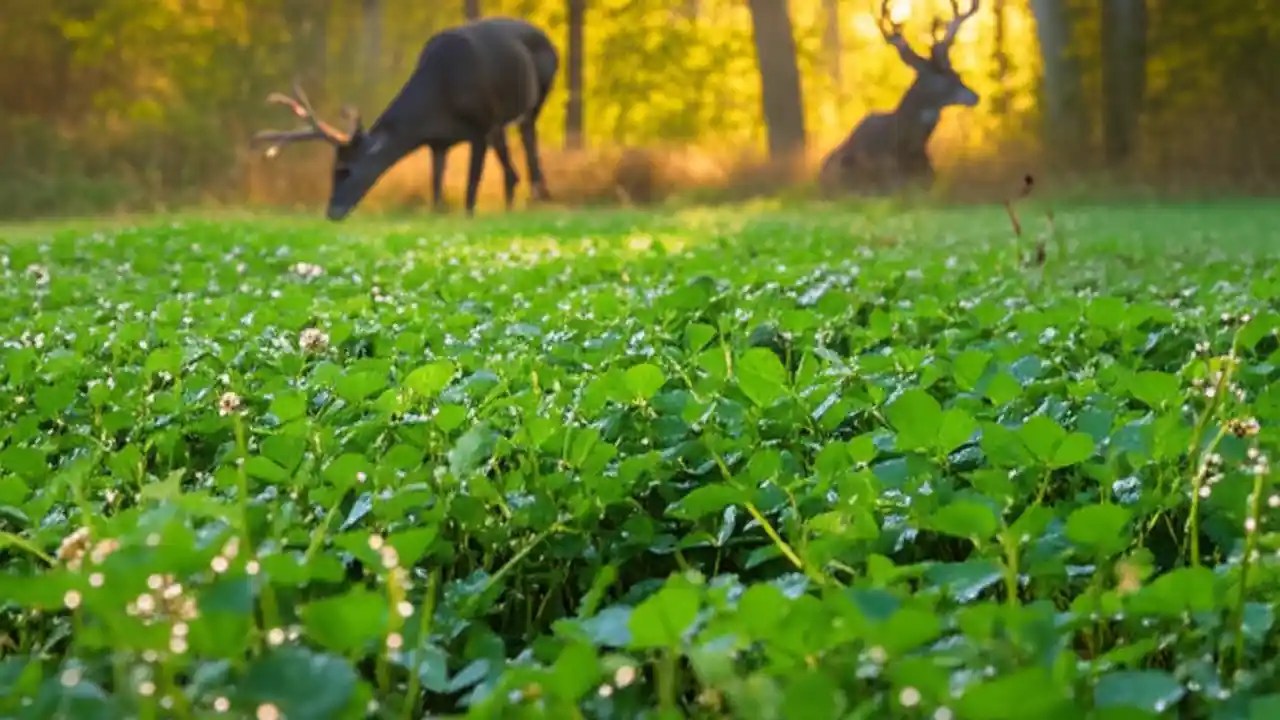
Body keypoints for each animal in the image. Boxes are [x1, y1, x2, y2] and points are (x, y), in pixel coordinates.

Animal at [252, 17, 558, 220]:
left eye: (345, 169)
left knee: (529, 138)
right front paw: (438, 213)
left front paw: (468, 217)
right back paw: (514, 205)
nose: (332, 212)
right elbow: (436, 189)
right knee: (511, 170)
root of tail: (548, 38)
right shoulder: (439, 142)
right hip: (500, 124)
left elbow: (471, 188)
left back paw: (538, 198)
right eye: (332, 169)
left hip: (537, 94)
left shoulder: (479, 127)